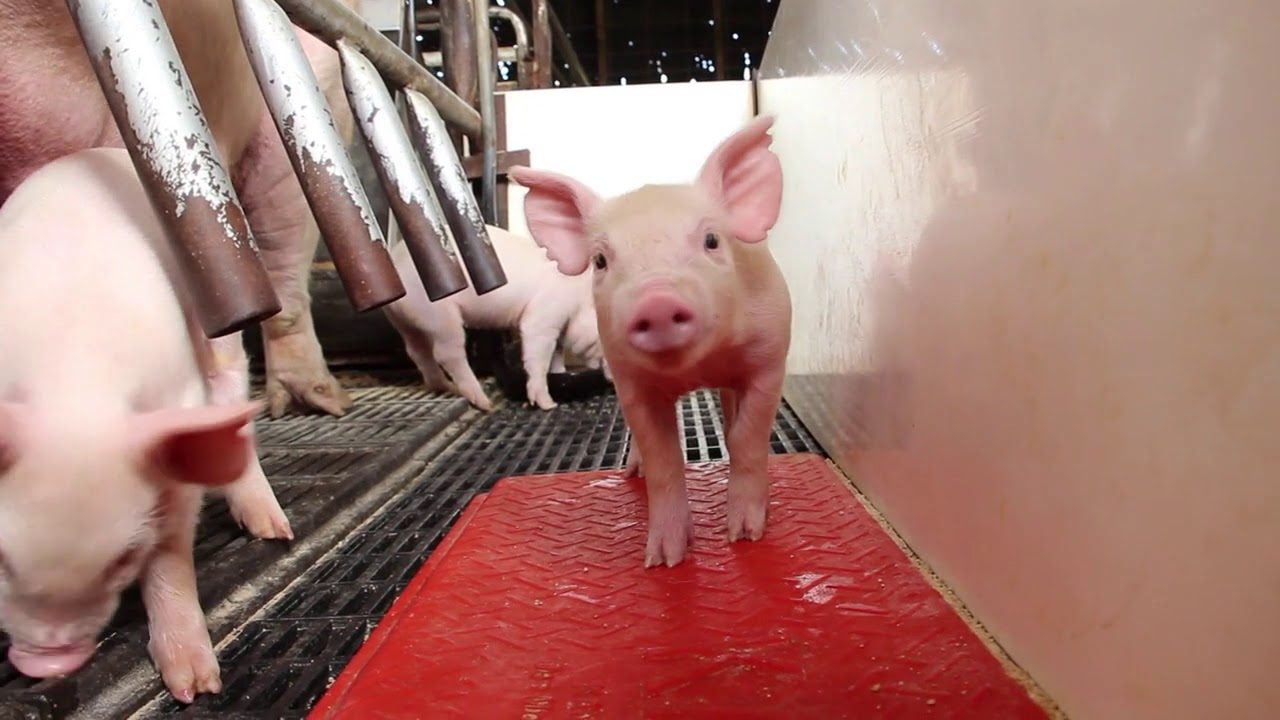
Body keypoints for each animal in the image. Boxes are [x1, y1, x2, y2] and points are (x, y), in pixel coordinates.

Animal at [0, 148, 264, 702]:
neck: (76, 386)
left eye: (122, 561)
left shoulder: (181, 408)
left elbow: (170, 554)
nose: (48, 663)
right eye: (3, 559)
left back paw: (274, 531)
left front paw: (195, 688)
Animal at [383, 224, 606, 411]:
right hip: (439, 314)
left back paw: (445, 387)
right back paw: (484, 403)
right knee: (446, 353)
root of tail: (396, 262)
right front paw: (548, 405)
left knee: (417, 351)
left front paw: (559, 372)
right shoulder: (545, 311)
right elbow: (537, 349)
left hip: (403, 321)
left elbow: (556, 356)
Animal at [508, 115, 791, 568]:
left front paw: (745, 536)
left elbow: (748, 438)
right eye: (600, 261)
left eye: (712, 240)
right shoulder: (632, 385)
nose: (657, 302)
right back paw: (632, 472)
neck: (699, 370)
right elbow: (663, 460)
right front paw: (664, 560)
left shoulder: (769, 360)